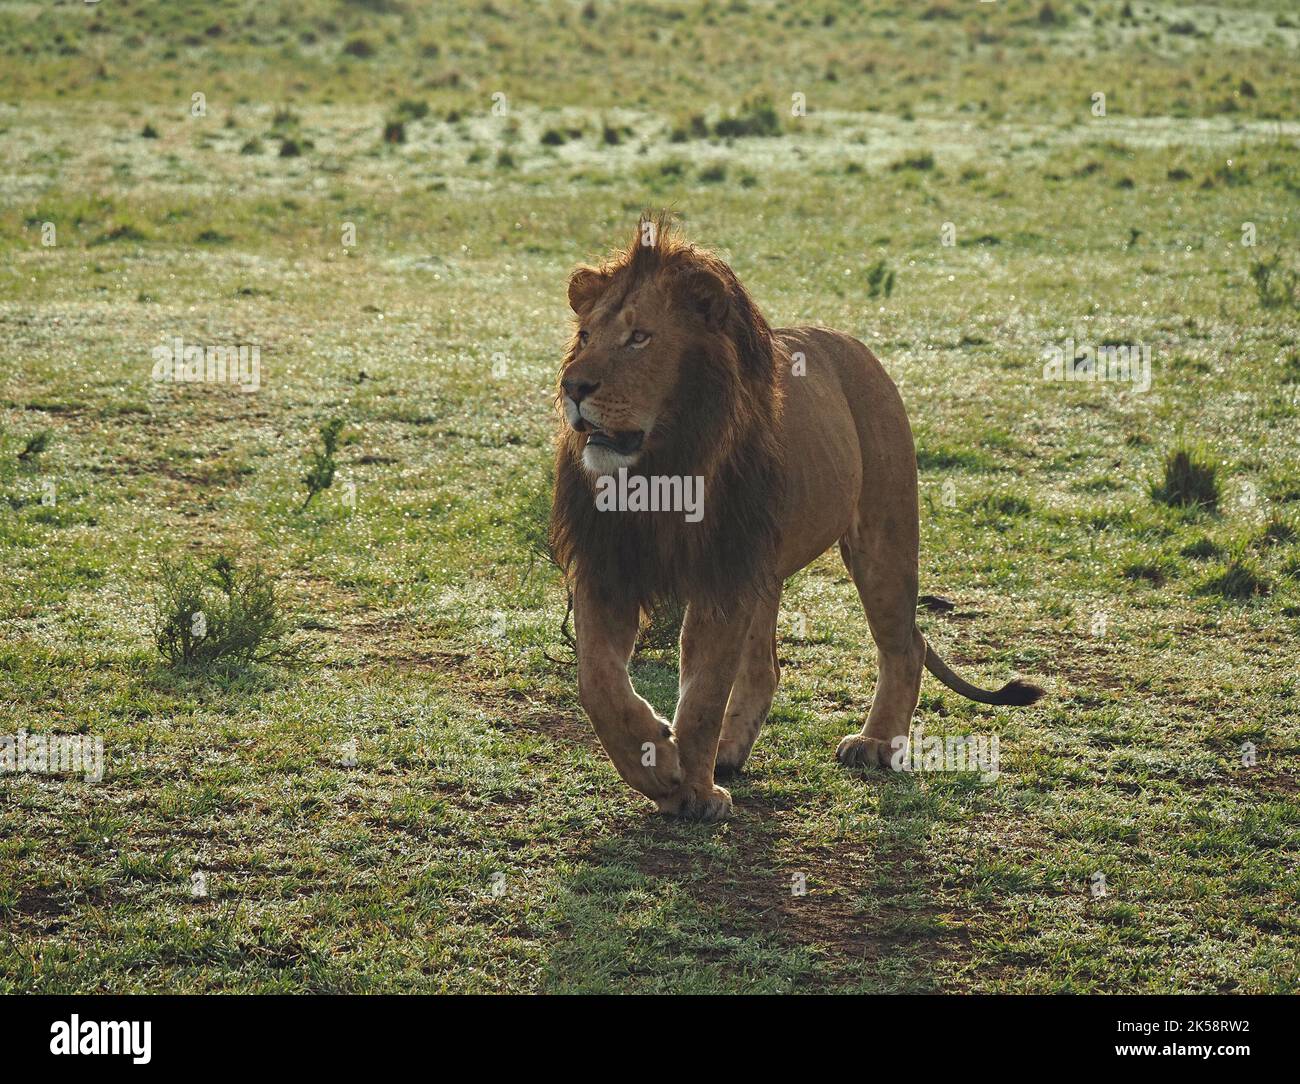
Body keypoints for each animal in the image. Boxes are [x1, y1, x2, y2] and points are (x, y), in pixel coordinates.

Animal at [551, 214, 1044, 820]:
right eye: (585, 337)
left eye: (639, 338)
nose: (574, 386)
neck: (664, 467)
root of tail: (851, 344)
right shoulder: (609, 568)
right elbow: (598, 682)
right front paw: (659, 766)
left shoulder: (723, 577)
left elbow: (704, 693)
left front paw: (693, 790)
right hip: (767, 568)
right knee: (766, 666)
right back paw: (730, 754)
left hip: (882, 541)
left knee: (906, 646)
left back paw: (876, 744)